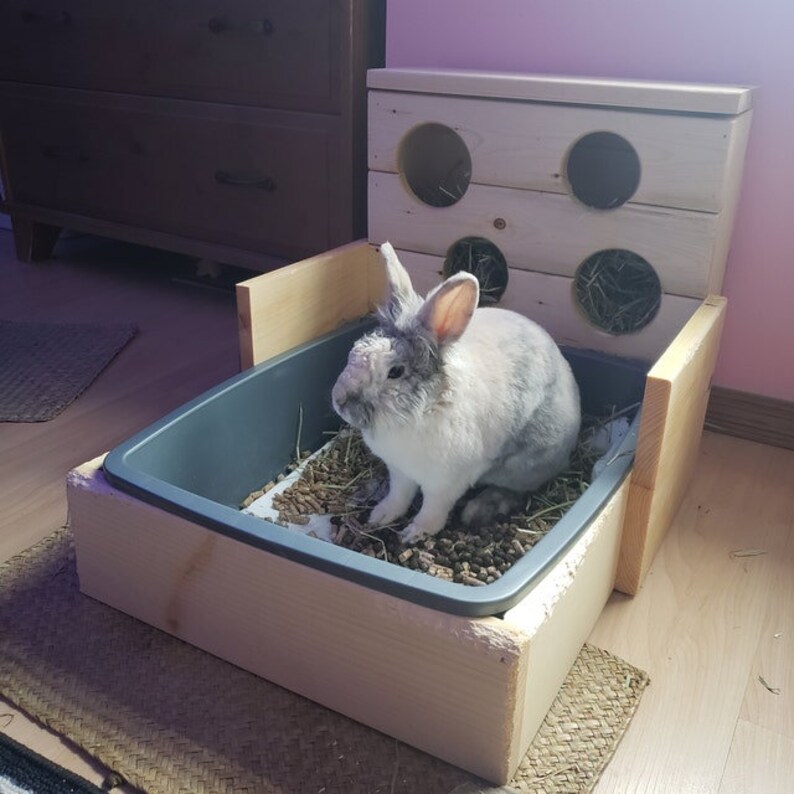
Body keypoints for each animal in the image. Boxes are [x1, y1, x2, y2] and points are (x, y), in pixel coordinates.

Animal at [331, 242, 581, 545]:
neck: (421, 411)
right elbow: (399, 495)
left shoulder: (446, 483)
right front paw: (380, 515)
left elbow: (433, 509)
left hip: (524, 465)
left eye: (395, 371)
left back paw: (477, 510)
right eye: (355, 349)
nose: (339, 400)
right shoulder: (399, 472)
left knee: (515, 490)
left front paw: (414, 533)